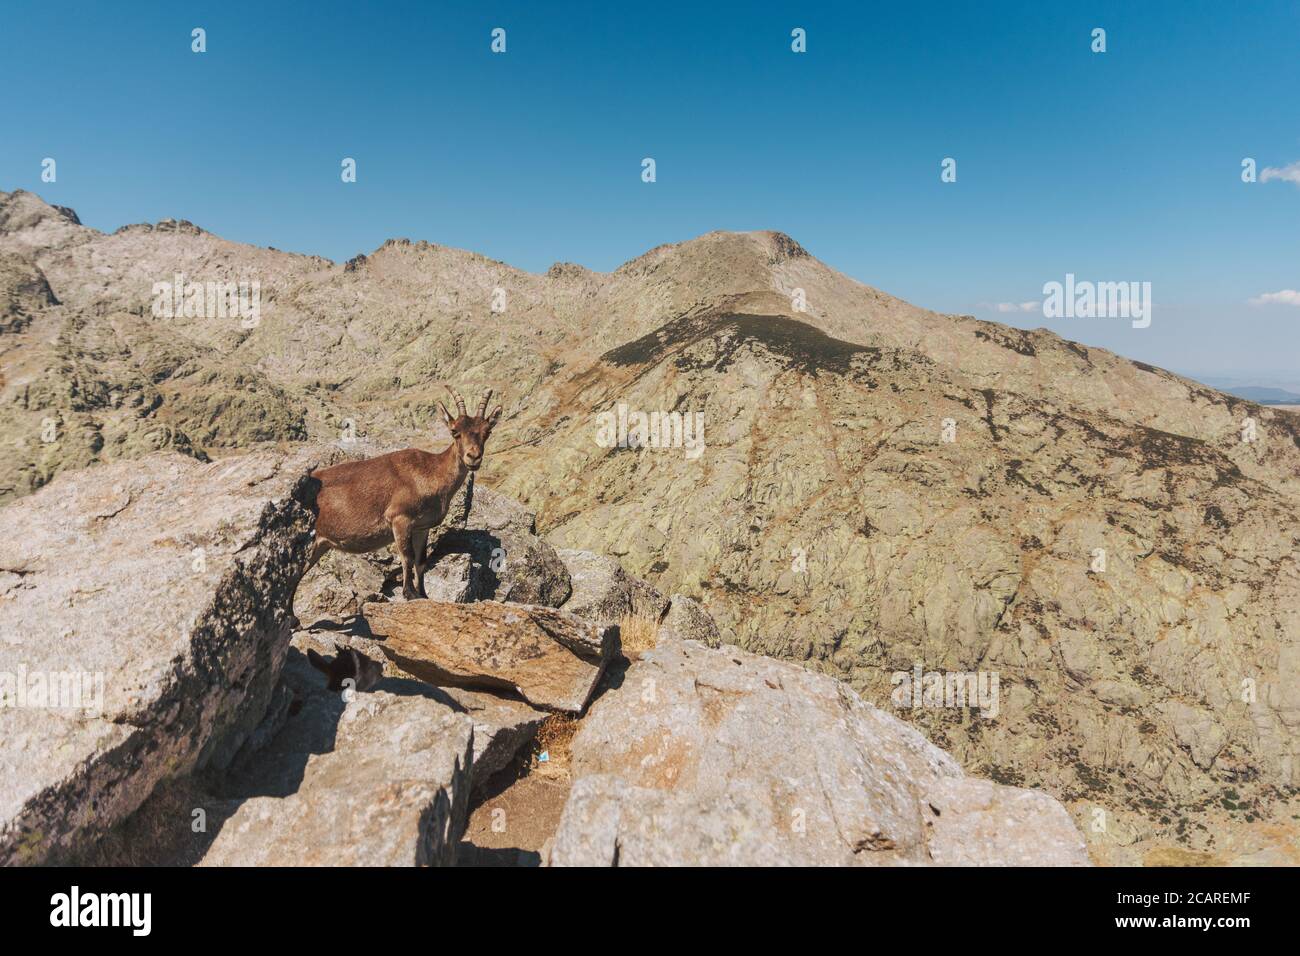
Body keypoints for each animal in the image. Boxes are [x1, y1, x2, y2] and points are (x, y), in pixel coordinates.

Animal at [307, 387, 503, 600]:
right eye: (454, 431)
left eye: (488, 432)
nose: (473, 457)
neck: (430, 473)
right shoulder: (400, 519)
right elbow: (407, 557)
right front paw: (409, 593)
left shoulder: (421, 527)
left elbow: (421, 561)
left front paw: (423, 594)